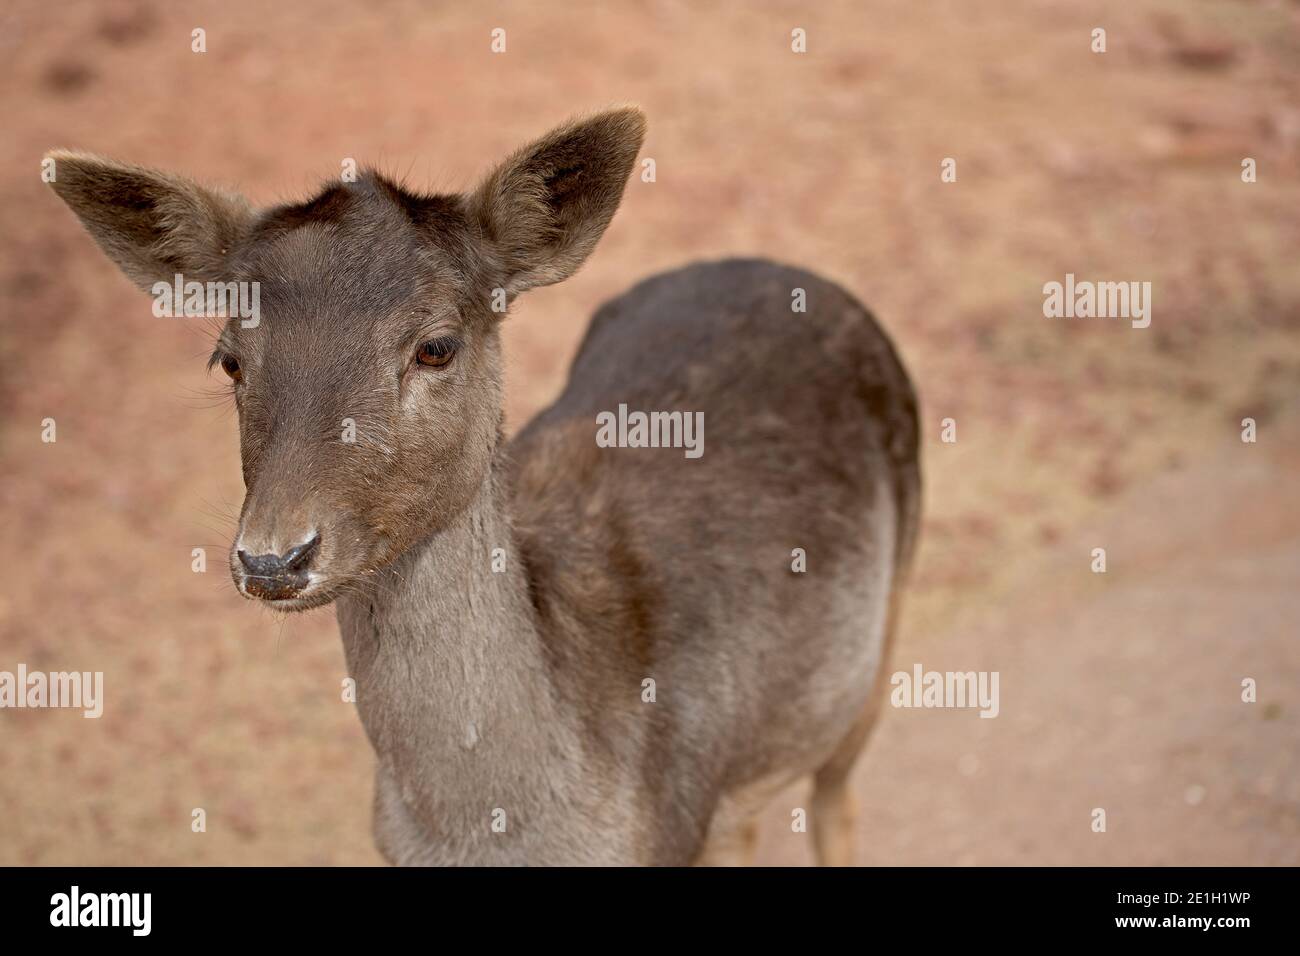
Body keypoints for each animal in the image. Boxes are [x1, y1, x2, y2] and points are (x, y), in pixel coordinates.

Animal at [46, 107, 921, 866]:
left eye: (436, 346)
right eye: (228, 359)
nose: (272, 559)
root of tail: (783, 269)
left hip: (886, 617)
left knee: (838, 800)